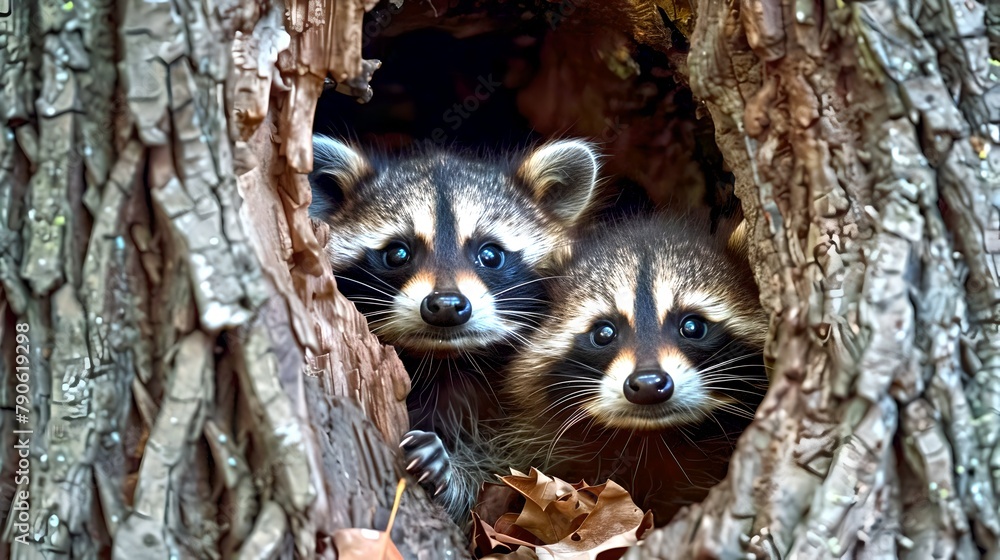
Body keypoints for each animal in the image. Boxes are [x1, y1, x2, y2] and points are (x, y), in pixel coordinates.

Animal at [308, 135, 600, 520]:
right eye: (397, 254)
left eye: (490, 254)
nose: (446, 305)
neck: (445, 360)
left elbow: (523, 463)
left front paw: (456, 472)